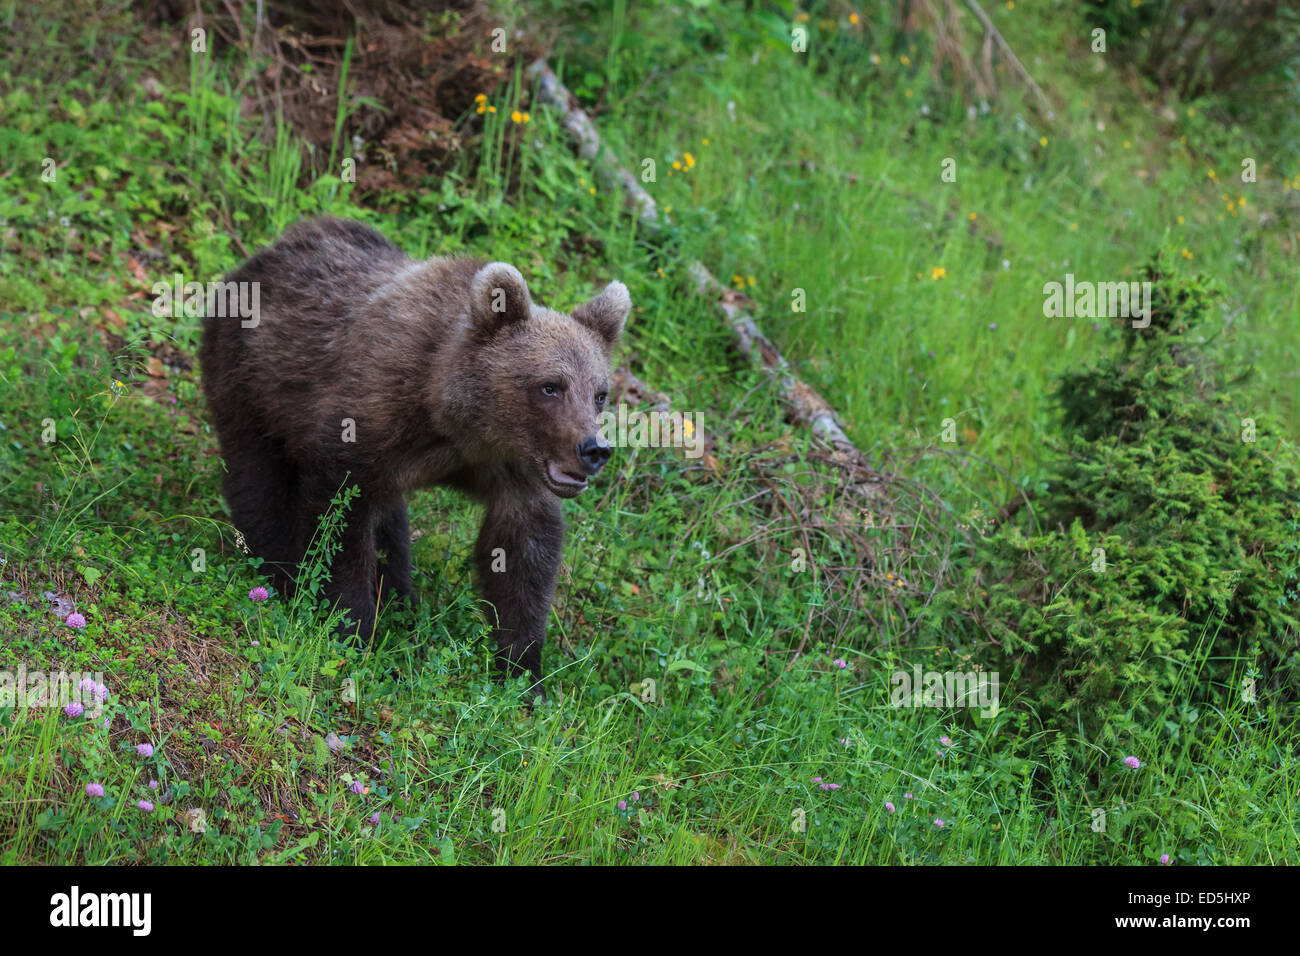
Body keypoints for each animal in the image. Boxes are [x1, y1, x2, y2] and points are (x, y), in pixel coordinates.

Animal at [198, 216, 629, 694]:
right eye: (550, 386)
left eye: (599, 393)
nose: (594, 449)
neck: (450, 413)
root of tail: (266, 253)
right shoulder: (366, 416)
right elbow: (340, 520)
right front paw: (351, 628)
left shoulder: (509, 465)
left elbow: (523, 548)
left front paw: (522, 671)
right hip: (250, 372)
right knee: (259, 476)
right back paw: (278, 572)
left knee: (389, 517)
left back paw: (401, 599)